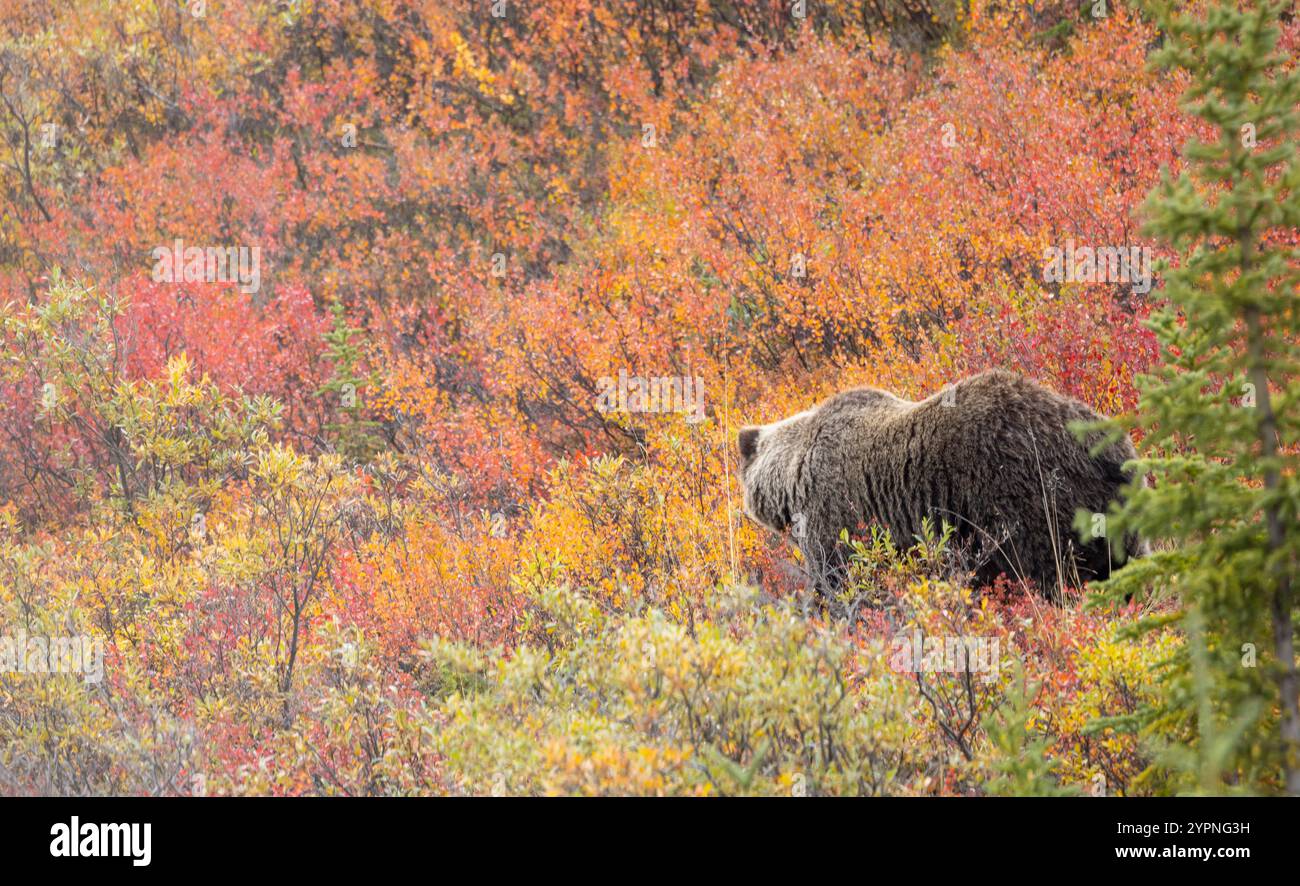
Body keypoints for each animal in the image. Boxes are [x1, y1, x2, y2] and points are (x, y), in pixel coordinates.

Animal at [737, 369, 1143, 600]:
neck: (793, 475)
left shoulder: (835, 514)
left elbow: (841, 579)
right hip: (1117, 509)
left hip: (1025, 496)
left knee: (1049, 569)